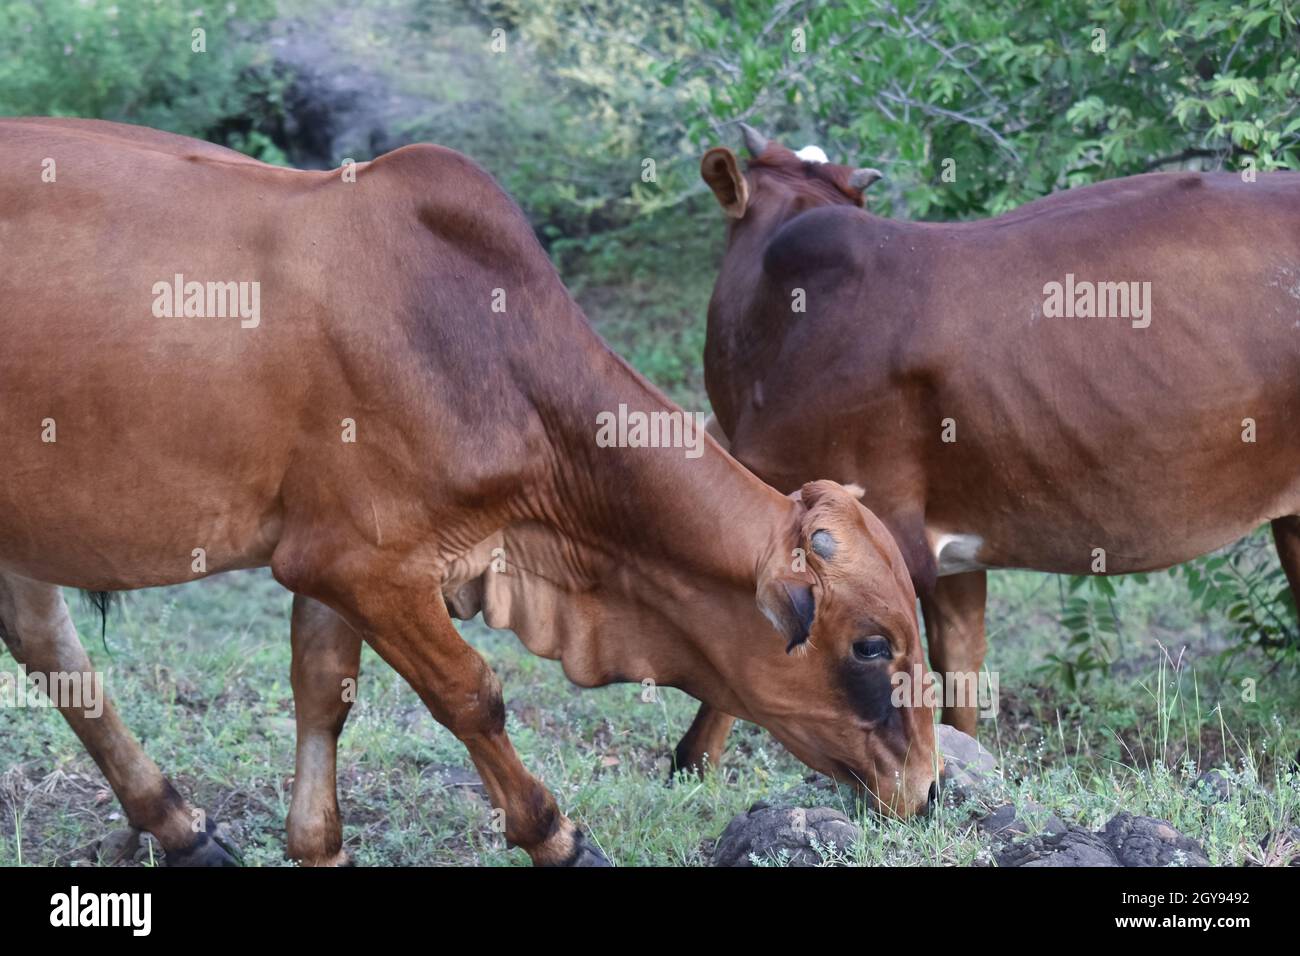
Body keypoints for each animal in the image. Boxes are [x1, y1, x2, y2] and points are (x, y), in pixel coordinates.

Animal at [0, 117, 940, 867]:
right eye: (871, 645)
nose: (928, 789)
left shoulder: (337, 560)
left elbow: (323, 693)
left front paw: (316, 844)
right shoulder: (362, 564)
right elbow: (473, 696)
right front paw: (560, 839)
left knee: (50, 648)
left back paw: (180, 827)